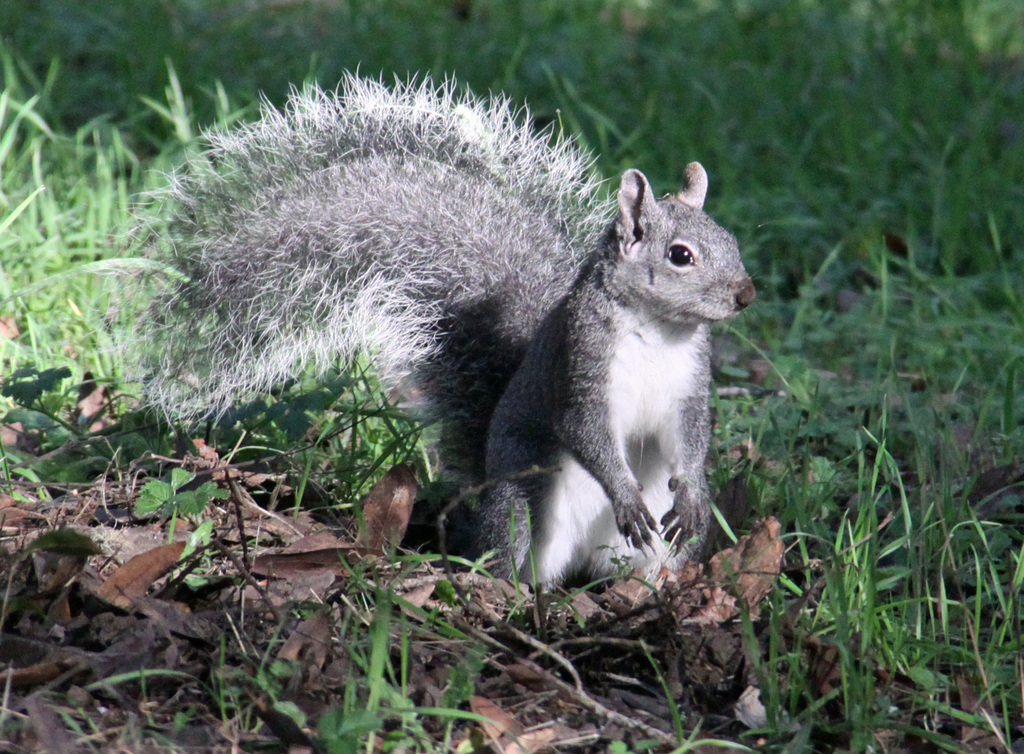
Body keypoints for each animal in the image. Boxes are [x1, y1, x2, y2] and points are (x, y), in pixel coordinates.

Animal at [124, 75, 755, 586]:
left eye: (732, 240)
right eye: (680, 255)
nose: (746, 295)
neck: (660, 329)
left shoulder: (688, 384)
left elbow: (691, 436)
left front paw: (693, 493)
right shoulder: (580, 363)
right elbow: (587, 431)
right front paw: (624, 495)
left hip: (653, 551)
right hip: (522, 503)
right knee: (511, 562)